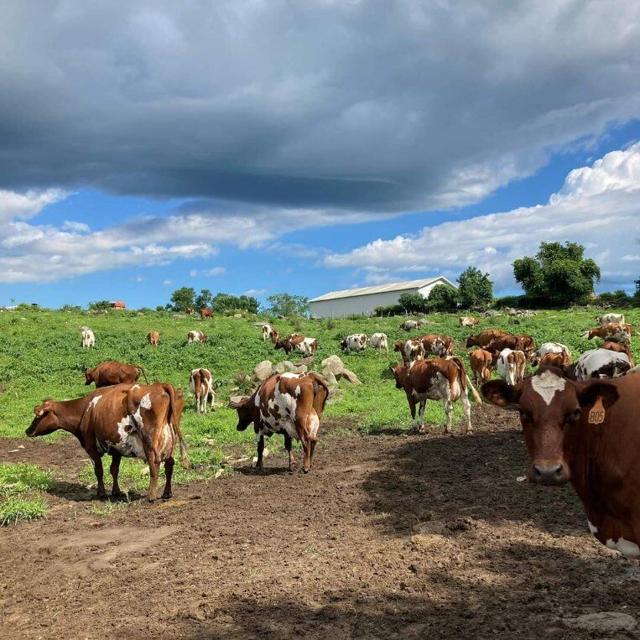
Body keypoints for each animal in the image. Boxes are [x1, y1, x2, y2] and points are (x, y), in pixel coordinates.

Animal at [25, 383, 188, 502]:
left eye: (38, 416)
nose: (27, 431)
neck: (85, 410)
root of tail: (160, 385)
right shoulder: (117, 447)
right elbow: (114, 469)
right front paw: (116, 491)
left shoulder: (91, 447)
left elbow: (99, 470)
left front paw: (101, 493)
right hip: (169, 442)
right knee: (169, 464)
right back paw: (167, 493)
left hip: (150, 441)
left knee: (155, 464)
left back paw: (151, 496)